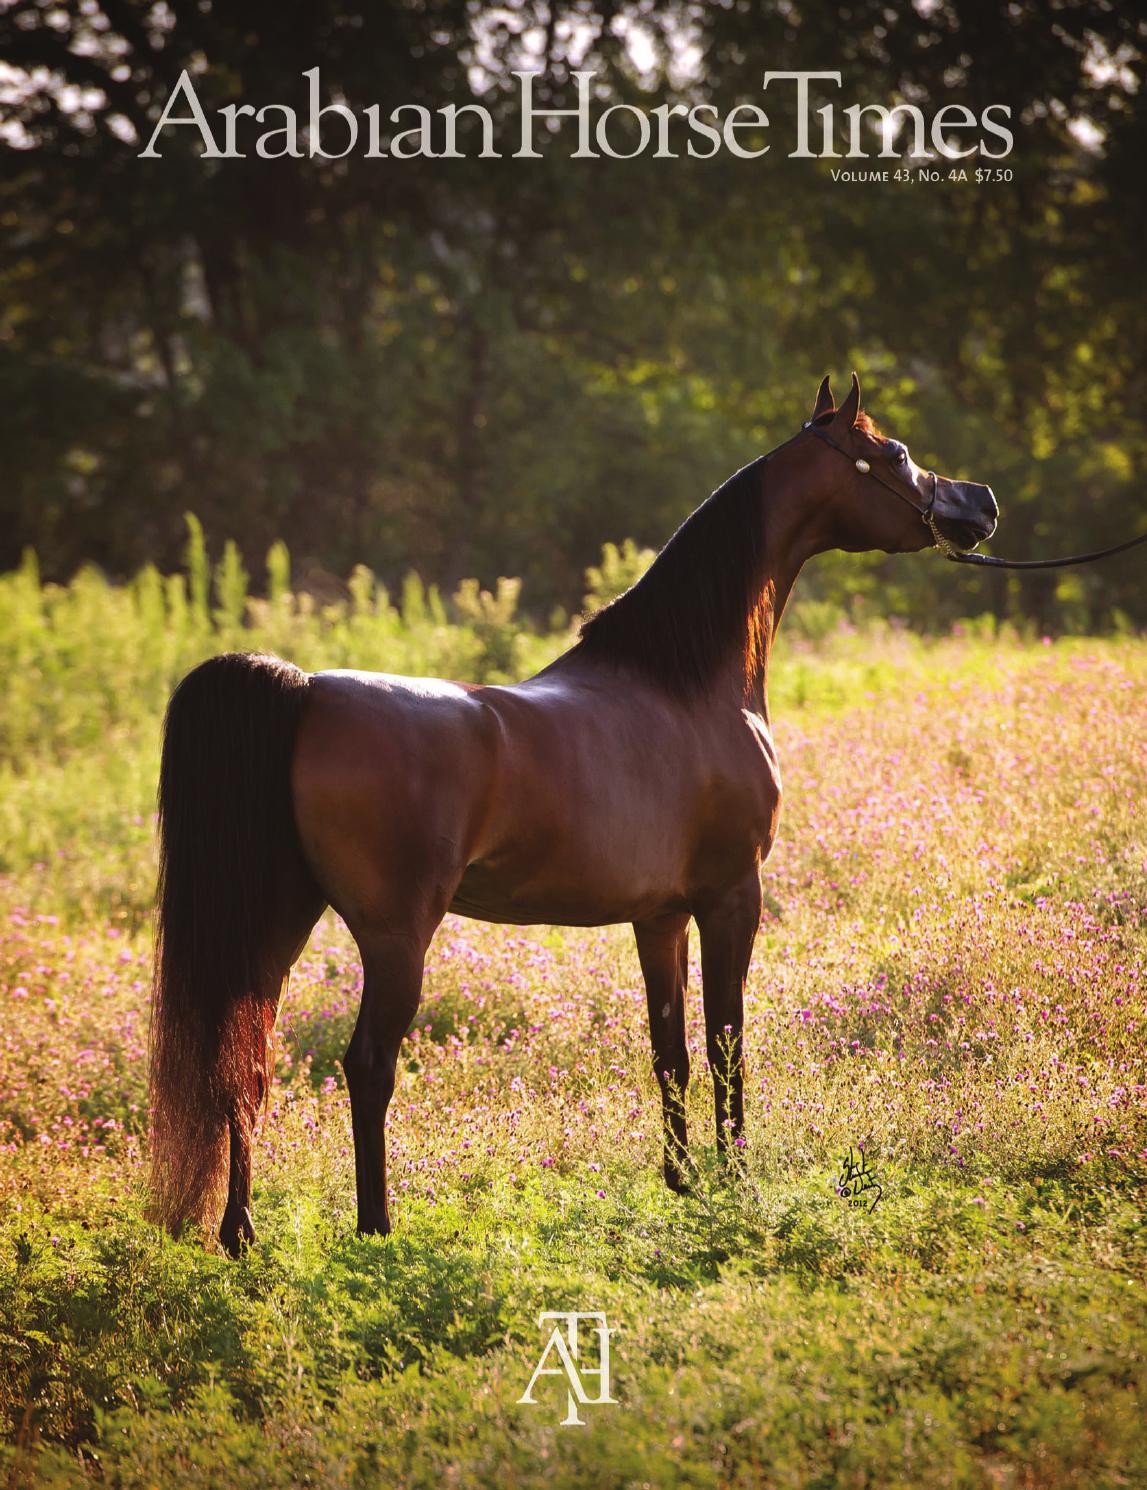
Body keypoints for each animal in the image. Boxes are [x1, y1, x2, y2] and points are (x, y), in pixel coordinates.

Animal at [148, 372, 998, 1255]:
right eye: (893, 452)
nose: (980, 503)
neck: (683, 683)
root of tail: (309, 691)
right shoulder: (732, 898)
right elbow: (725, 1043)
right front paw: (735, 1183)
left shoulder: (659, 916)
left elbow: (670, 1050)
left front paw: (683, 1182)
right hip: (394, 937)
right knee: (366, 1065)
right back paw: (376, 1230)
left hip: (277, 923)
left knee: (242, 1060)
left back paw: (239, 1232)